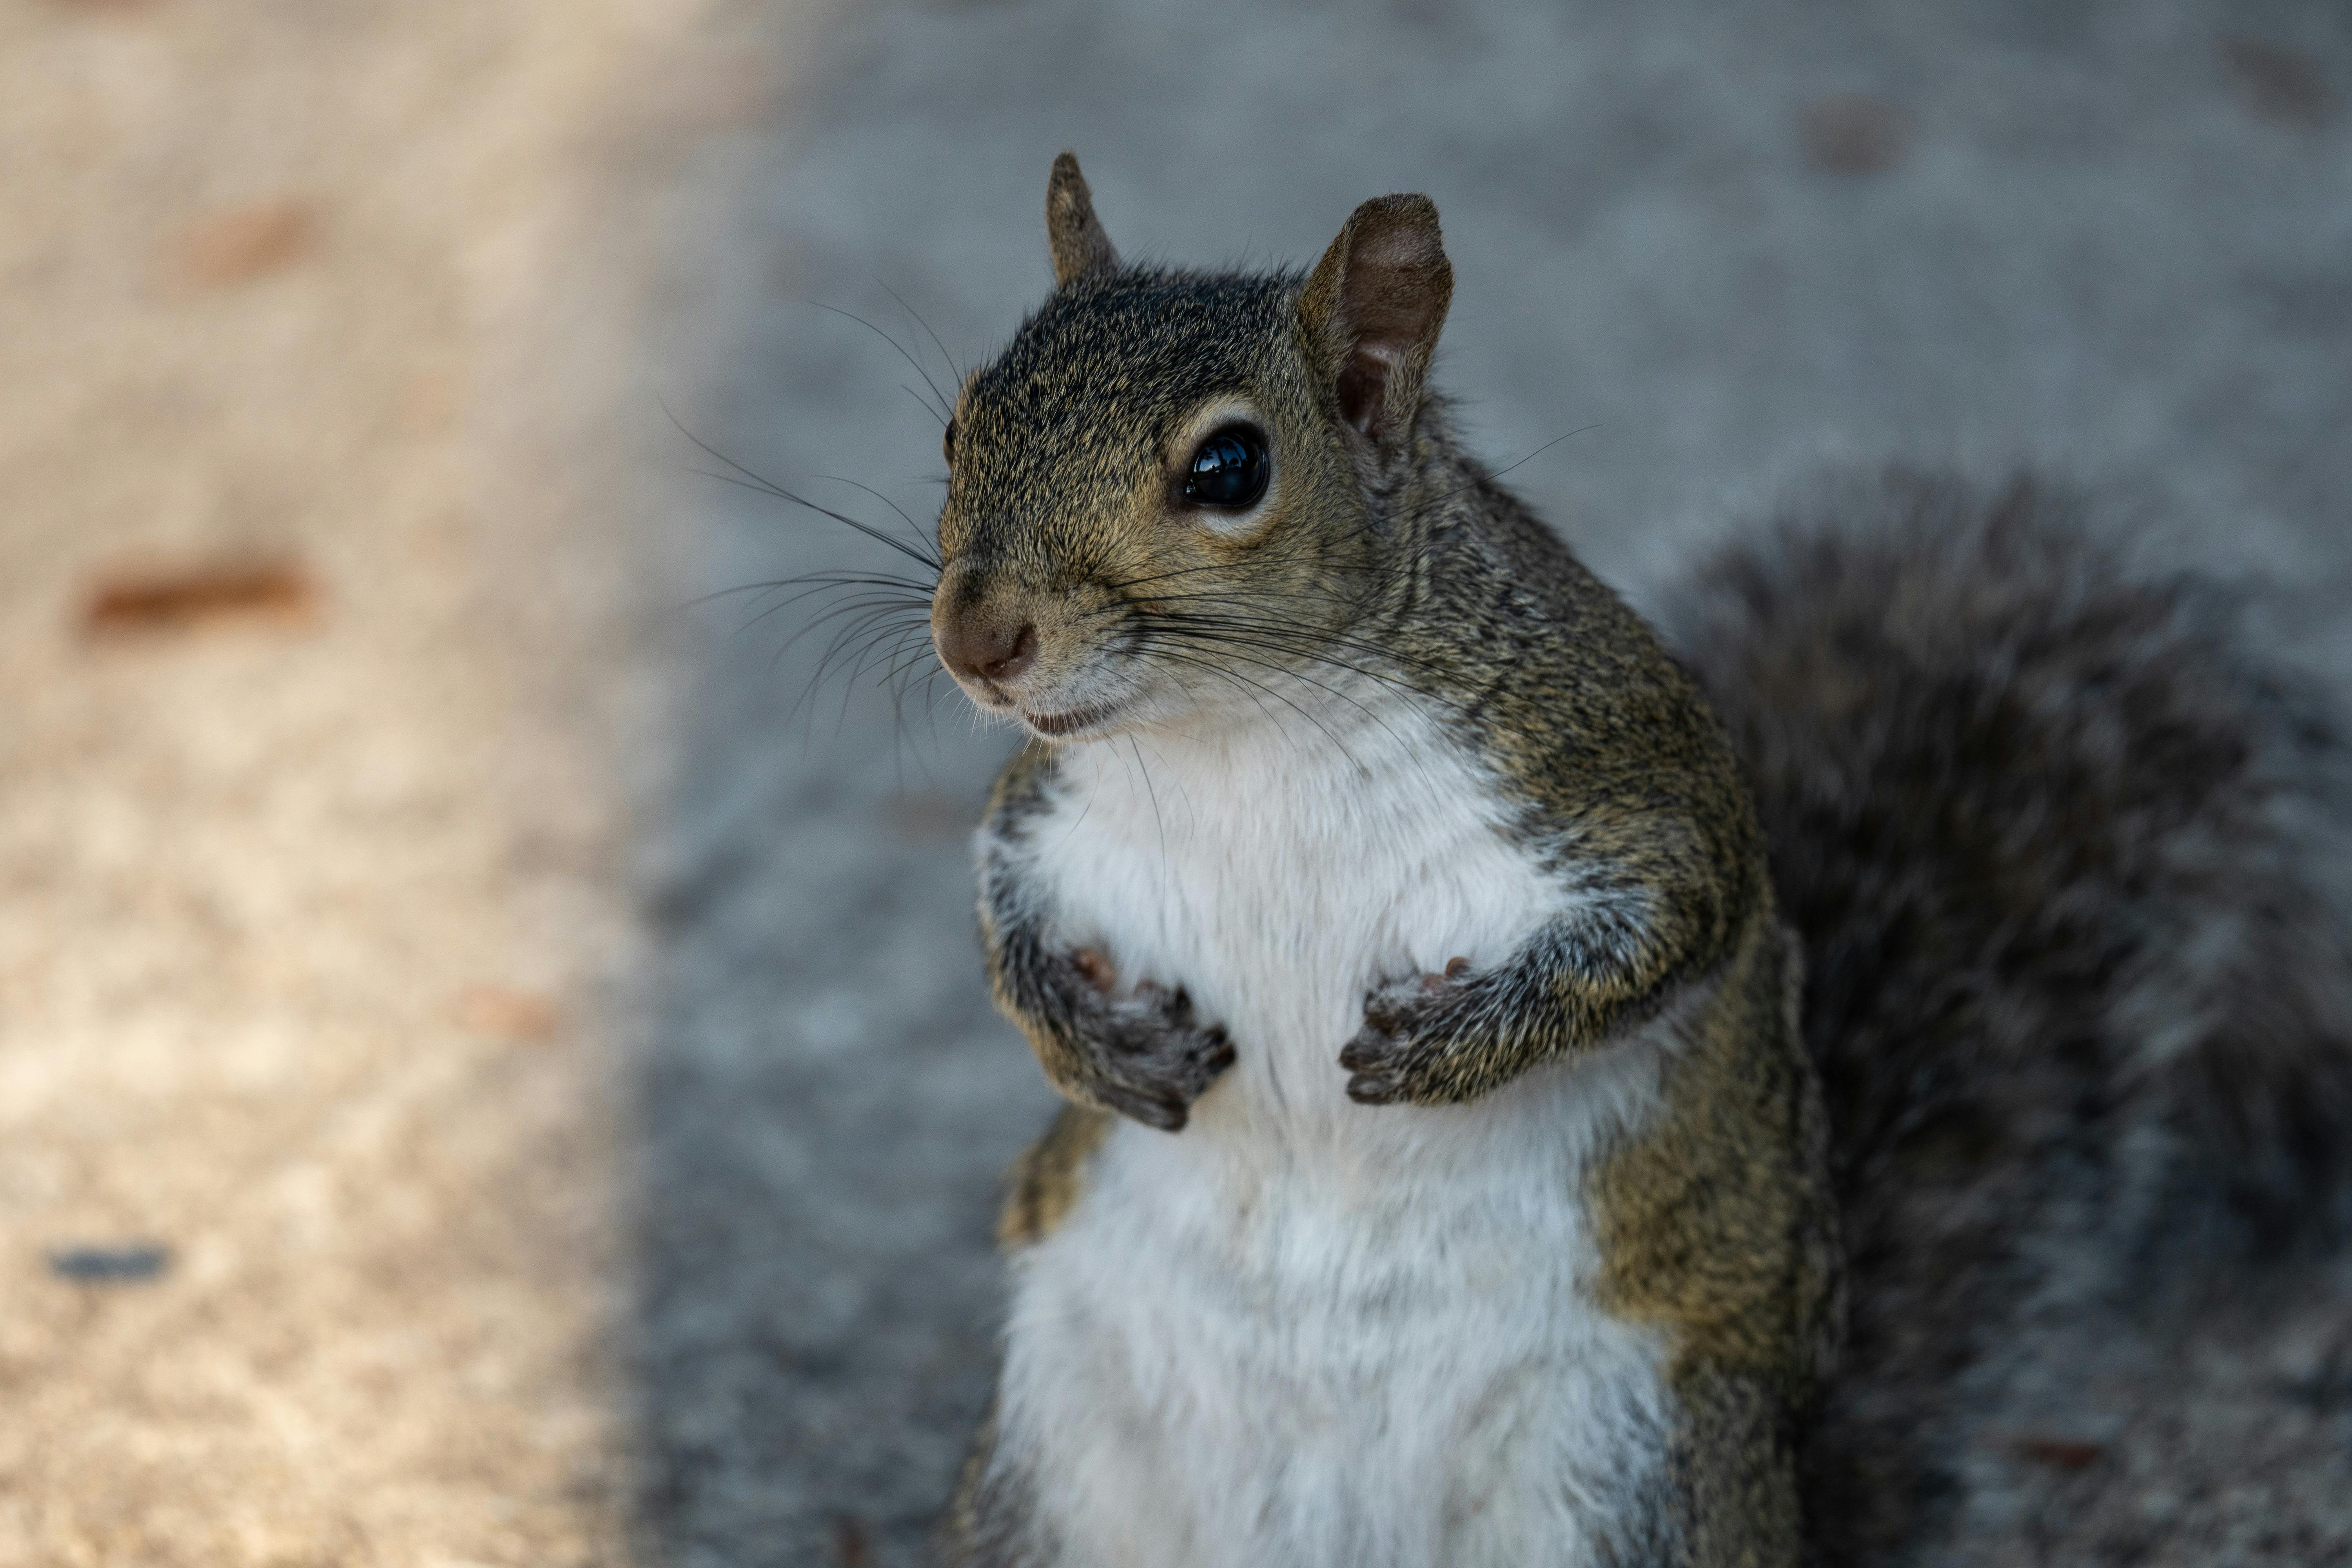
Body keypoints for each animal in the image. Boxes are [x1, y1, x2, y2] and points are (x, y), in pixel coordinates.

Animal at [912, 154, 2352, 1567]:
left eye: (1229, 468)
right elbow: (997, 904)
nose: (979, 640)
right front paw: (1087, 1041)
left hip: (1624, 1476)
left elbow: (1671, 927)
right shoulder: (1055, 810)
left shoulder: (1616, 783)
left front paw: (1454, 1048)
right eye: (959, 426)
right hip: (1061, 1465)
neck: (1238, 736)